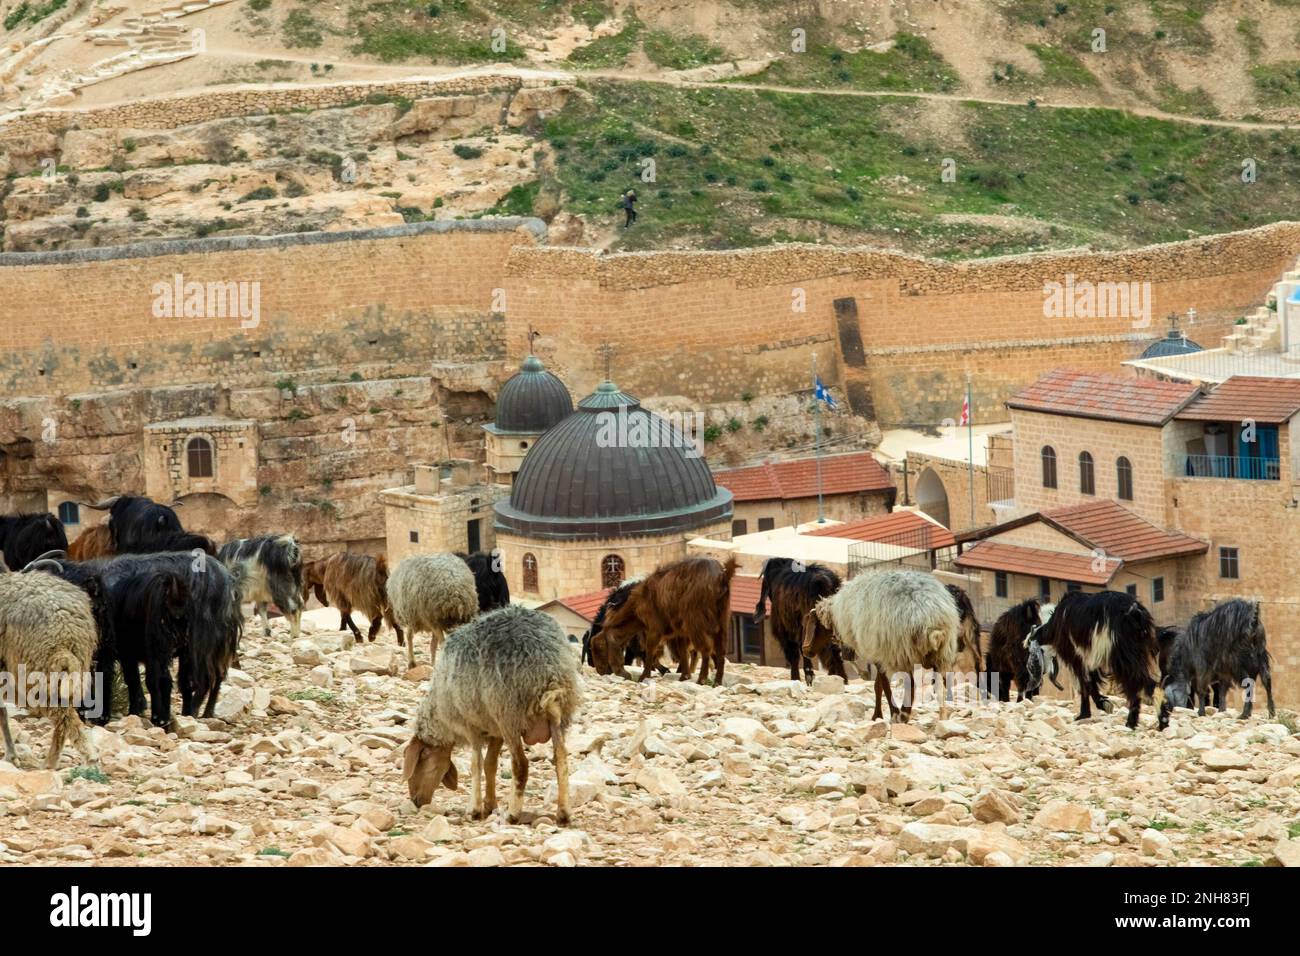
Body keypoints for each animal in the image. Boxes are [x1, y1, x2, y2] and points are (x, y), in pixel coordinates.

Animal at [0, 572, 98, 768]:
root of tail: (65, 628)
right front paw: (12, 755)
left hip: (35, 670)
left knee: (64, 716)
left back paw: (57, 761)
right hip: (72, 667)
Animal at [404, 605, 581, 825]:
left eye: (419, 764)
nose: (416, 801)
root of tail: (549, 670)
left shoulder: (470, 726)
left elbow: (476, 764)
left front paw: (475, 809)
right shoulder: (494, 730)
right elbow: (490, 765)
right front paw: (489, 805)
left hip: (509, 714)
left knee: (521, 765)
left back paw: (513, 814)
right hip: (557, 717)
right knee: (561, 760)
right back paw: (563, 814)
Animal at [593, 556, 736, 685]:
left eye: (600, 650)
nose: (602, 672)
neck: (638, 603)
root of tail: (722, 576)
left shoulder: (654, 627)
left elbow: (650, 649)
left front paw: (644, 676)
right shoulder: (680, 631)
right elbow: (682, 650)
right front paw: (684, 676)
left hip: (696, 622)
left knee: (706, 649)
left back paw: (701, 679)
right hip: (722, 621)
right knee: (720, 651)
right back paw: (717, 681)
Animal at [805, 568, 960, 723]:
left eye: (813, 624)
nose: (805, 650)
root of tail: (930, 617)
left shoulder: (881, 654)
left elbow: (882, 685)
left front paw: (891, 713)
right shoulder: (879, 654)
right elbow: (878, 685)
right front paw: (878, 715)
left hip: (902, 652)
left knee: (911, 684)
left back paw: (903, 714)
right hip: (941, 653)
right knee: (940, 685)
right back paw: (943, 716)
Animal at [1028, 589, 1163, 730]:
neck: (1056, 624)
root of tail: (1134, 612)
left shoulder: (1078, 655)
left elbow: (1085, 682)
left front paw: (1085, 713)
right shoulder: (1090, 656)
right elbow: (1091, 680)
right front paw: (1102, 705)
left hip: (1121, 655)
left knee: (1137, 682)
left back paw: (1131, 722)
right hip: (1137, 651)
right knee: (1151, 683)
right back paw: (1160, 722)